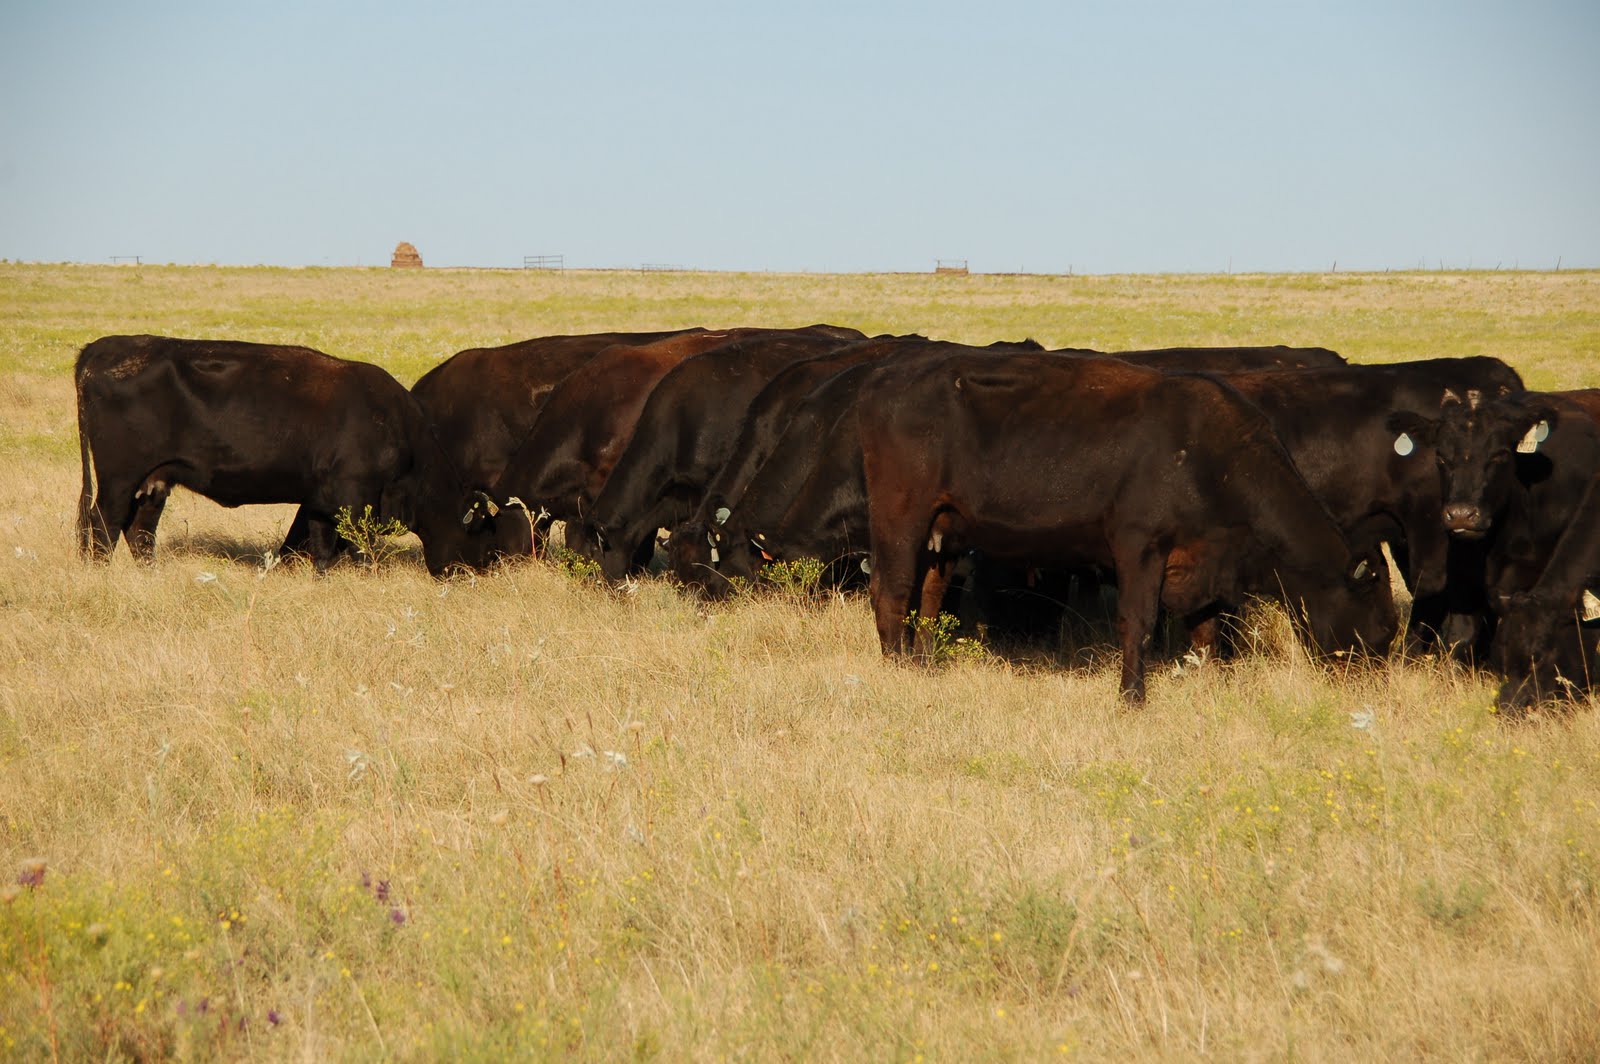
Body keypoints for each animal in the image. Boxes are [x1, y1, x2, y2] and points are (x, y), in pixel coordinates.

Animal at [75, 335, 479, 575]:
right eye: (483, 529)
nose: (477, 570)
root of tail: (101, 348)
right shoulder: (354, 499)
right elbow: (358, 546)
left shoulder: (319, 503)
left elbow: (322, 547)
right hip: (119, 480)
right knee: (105, 524)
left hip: (155, 480)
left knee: (140, 529)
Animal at [856, 352, 1397, 702]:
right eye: (1382, 627)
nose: (1375, 687)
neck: (1207, 457)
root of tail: (884, 377)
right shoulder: (1139, 546)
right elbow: (1138, 622)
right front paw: (1132, 696)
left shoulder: (1199, 560)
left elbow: (1206, 631)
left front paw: (1208, 684)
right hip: (900, 518)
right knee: (892, 590)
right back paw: (897, 668)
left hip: (943, 529)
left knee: (929, 596)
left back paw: (923, 666)